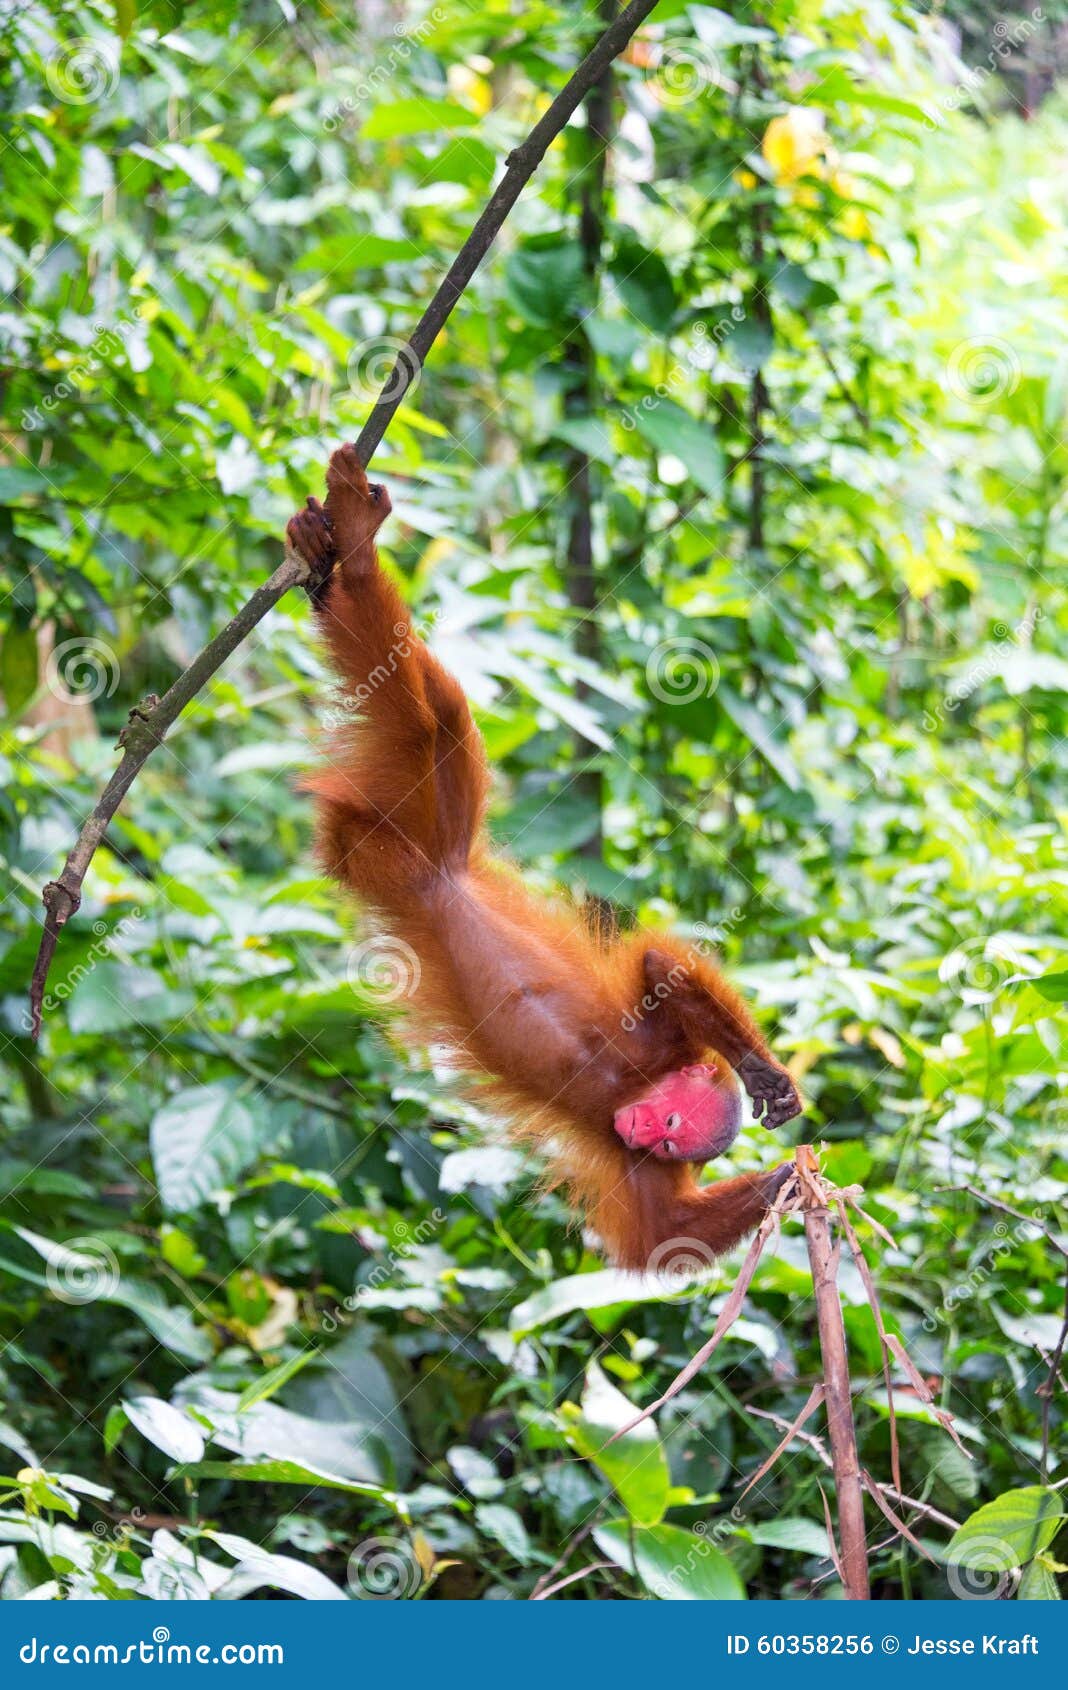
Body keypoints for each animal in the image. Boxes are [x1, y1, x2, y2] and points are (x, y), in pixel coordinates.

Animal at [285, 445, 802, 1271]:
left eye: (670, 1137)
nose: (640, 1130)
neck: (627, 1085)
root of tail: (422, 870)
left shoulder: (642, 1168)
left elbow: (664, 1239)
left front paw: (787, 1179)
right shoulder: (654, 1041)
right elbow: (662, 969)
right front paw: (768, 1076)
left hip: (399, 838)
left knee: (417, 720)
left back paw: (325, 563)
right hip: (443, 810)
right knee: (433, 711)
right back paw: (355, 550)